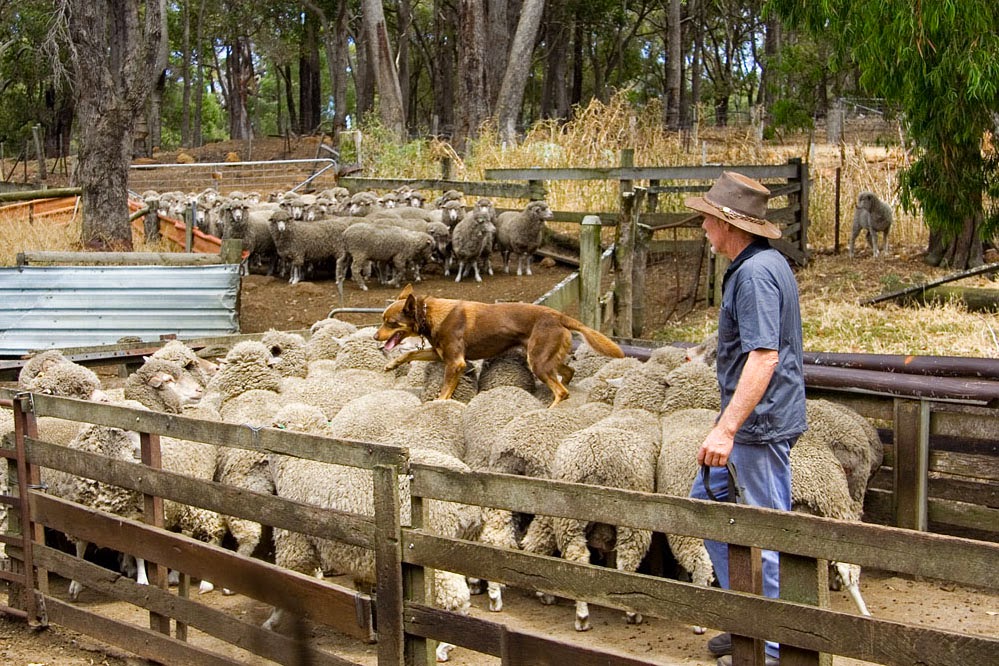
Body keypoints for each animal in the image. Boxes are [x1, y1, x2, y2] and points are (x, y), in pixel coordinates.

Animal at [549, 408, 662, 631]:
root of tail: (593, 461)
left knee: (577, 557)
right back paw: (631, 612)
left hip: (569, 518)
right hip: (632, 514)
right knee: (627, 559)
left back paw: (582, 615)